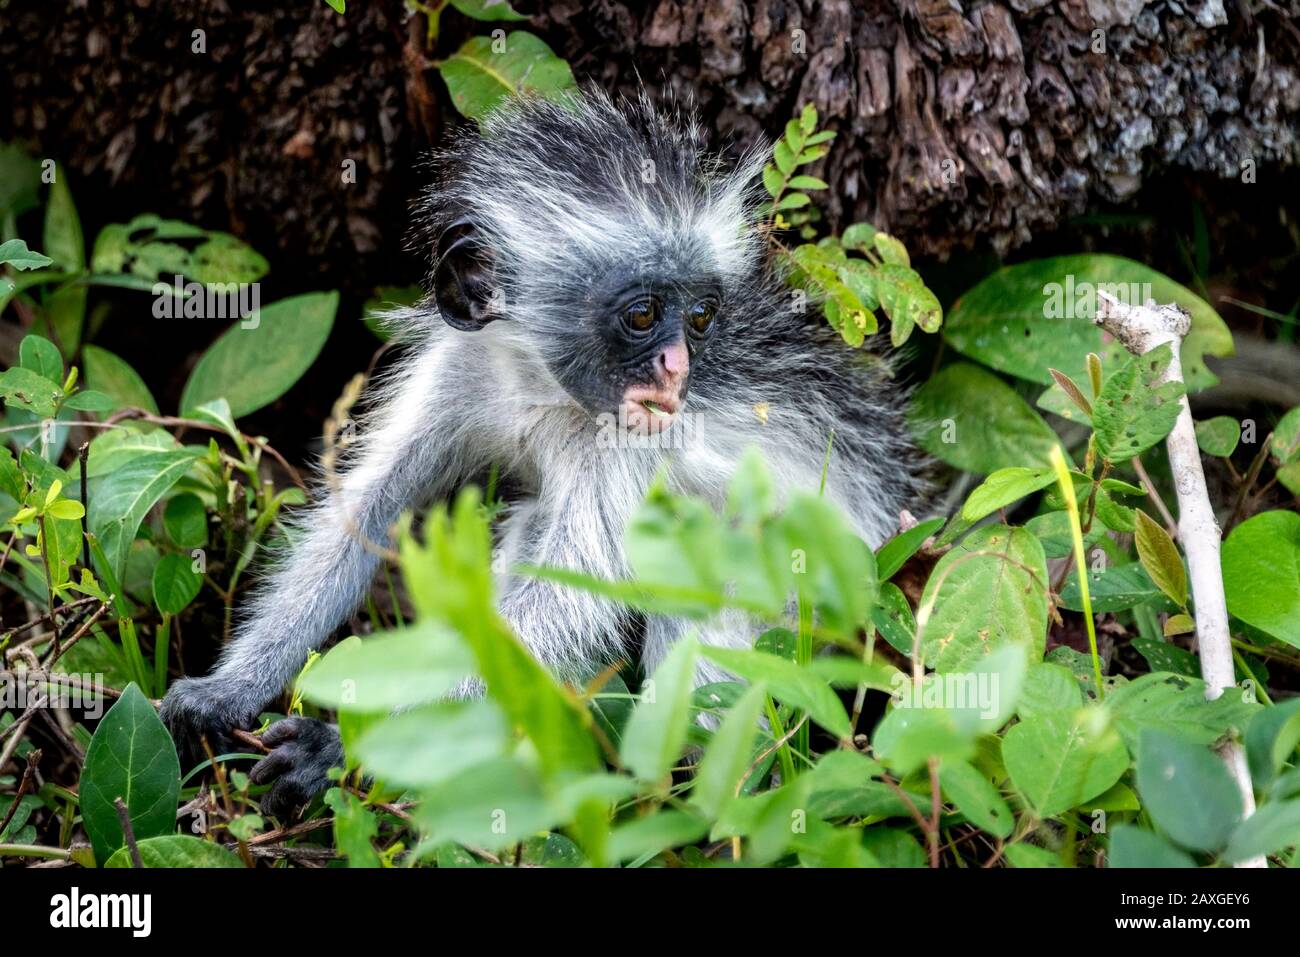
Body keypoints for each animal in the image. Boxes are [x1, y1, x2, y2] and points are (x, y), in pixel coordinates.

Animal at [160, 89, 927, 817]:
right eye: (643, 314)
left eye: (703, 316)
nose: (678, 368)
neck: (543, 393)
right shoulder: (458, 369)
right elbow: (363, 514)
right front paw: (229, 688)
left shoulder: (629, 442)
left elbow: (569, 603)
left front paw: (345, 749)